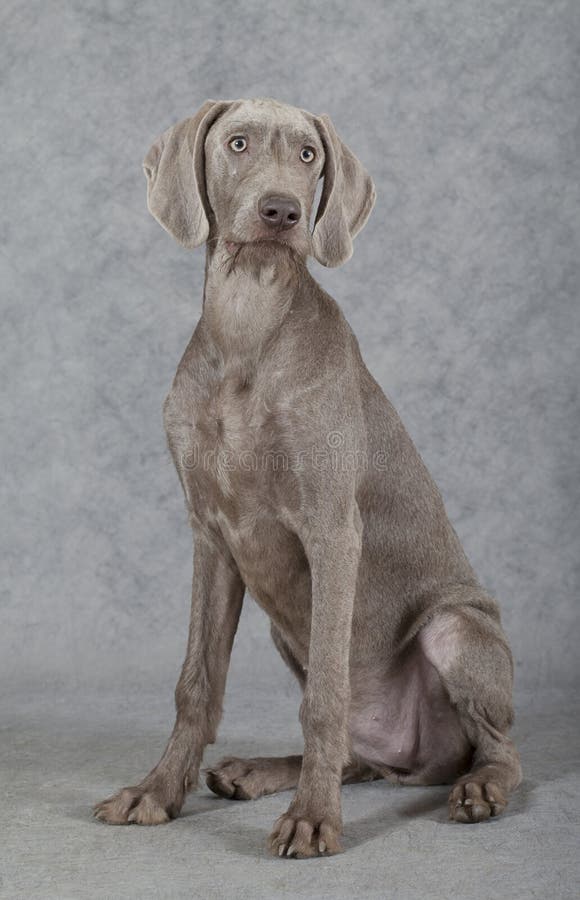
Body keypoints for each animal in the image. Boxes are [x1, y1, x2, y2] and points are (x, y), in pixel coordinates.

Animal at [94, 96, 520, 856]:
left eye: (308, 156)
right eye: (237, 143)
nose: (282, 211)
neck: (248, 328)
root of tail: (417, 763)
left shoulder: (331, 530)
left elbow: (324, 695)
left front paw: (314, 816)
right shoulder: (211, 536)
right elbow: (196, 682)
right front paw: (157, 791)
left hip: (456, 625)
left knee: (497, 747)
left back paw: (479, 791)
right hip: (282, 633)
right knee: (359, 753)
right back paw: (254, 772)